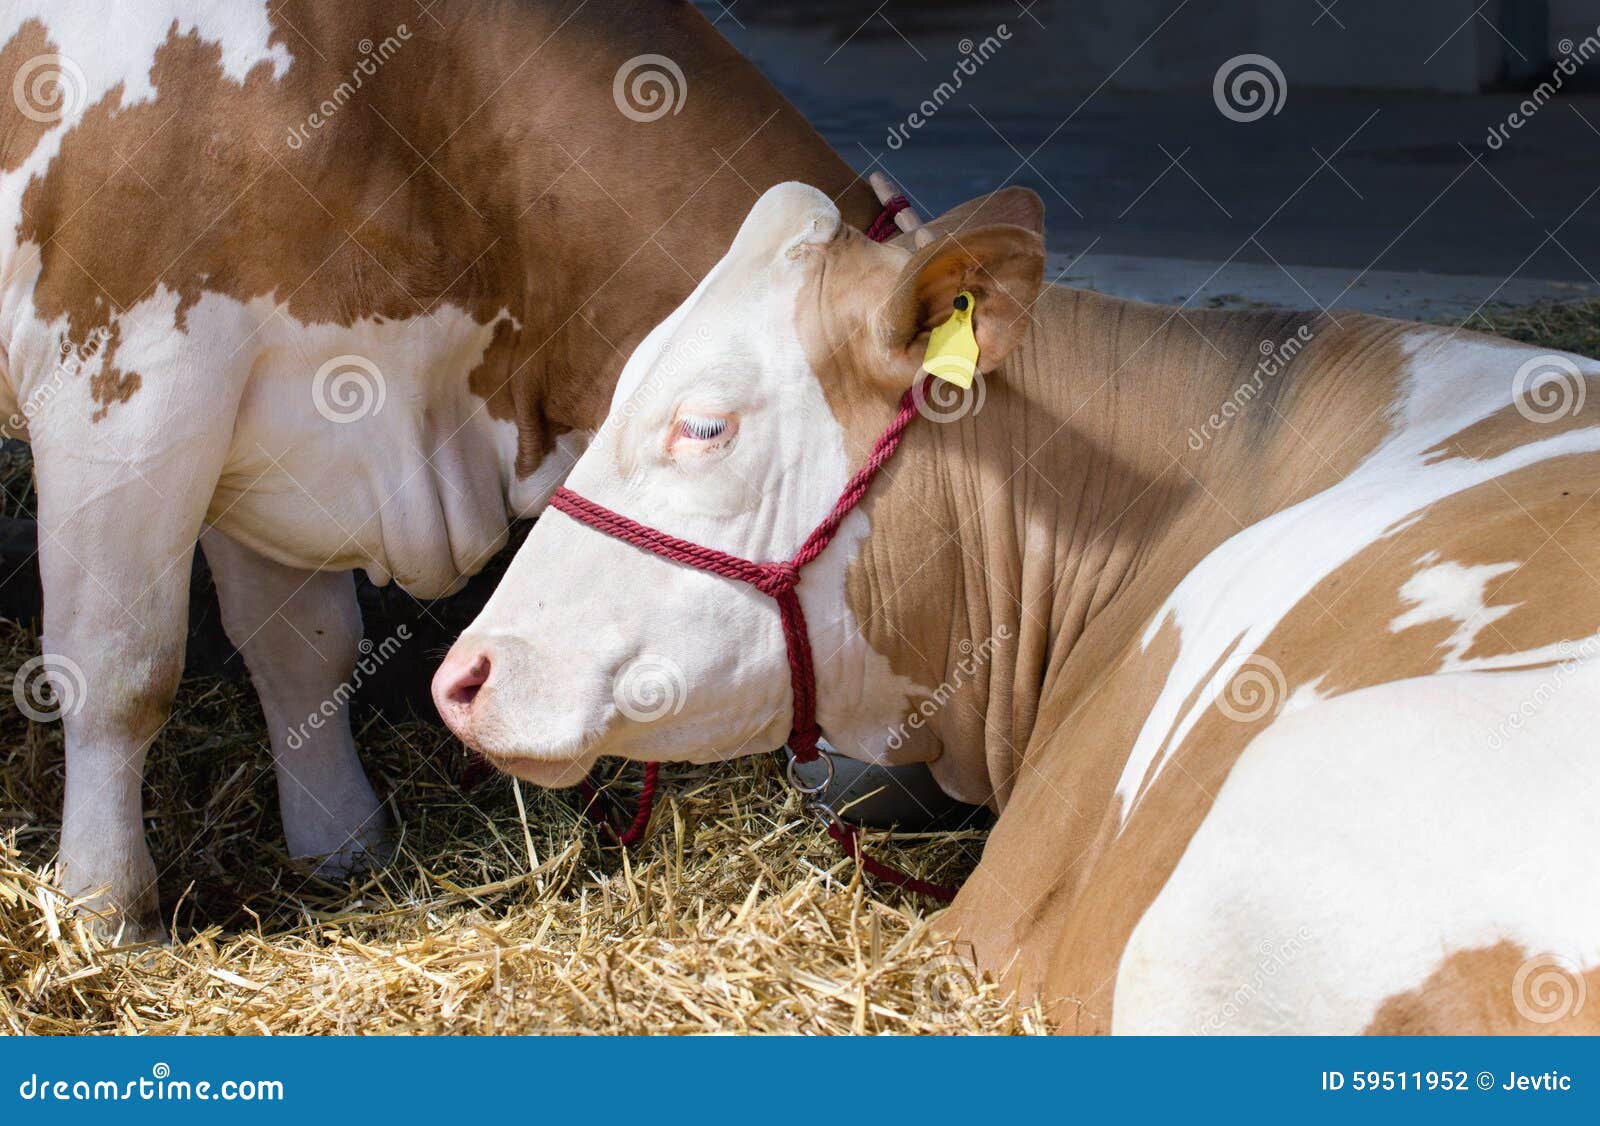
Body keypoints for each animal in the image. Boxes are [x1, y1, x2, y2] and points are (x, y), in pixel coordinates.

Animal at [0, 0, 921, 941]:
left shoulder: (277, 416)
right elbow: (121, 670)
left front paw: (345, 847)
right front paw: (109, 909)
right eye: (705, 428)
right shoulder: (129, 381)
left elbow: (304, 651)